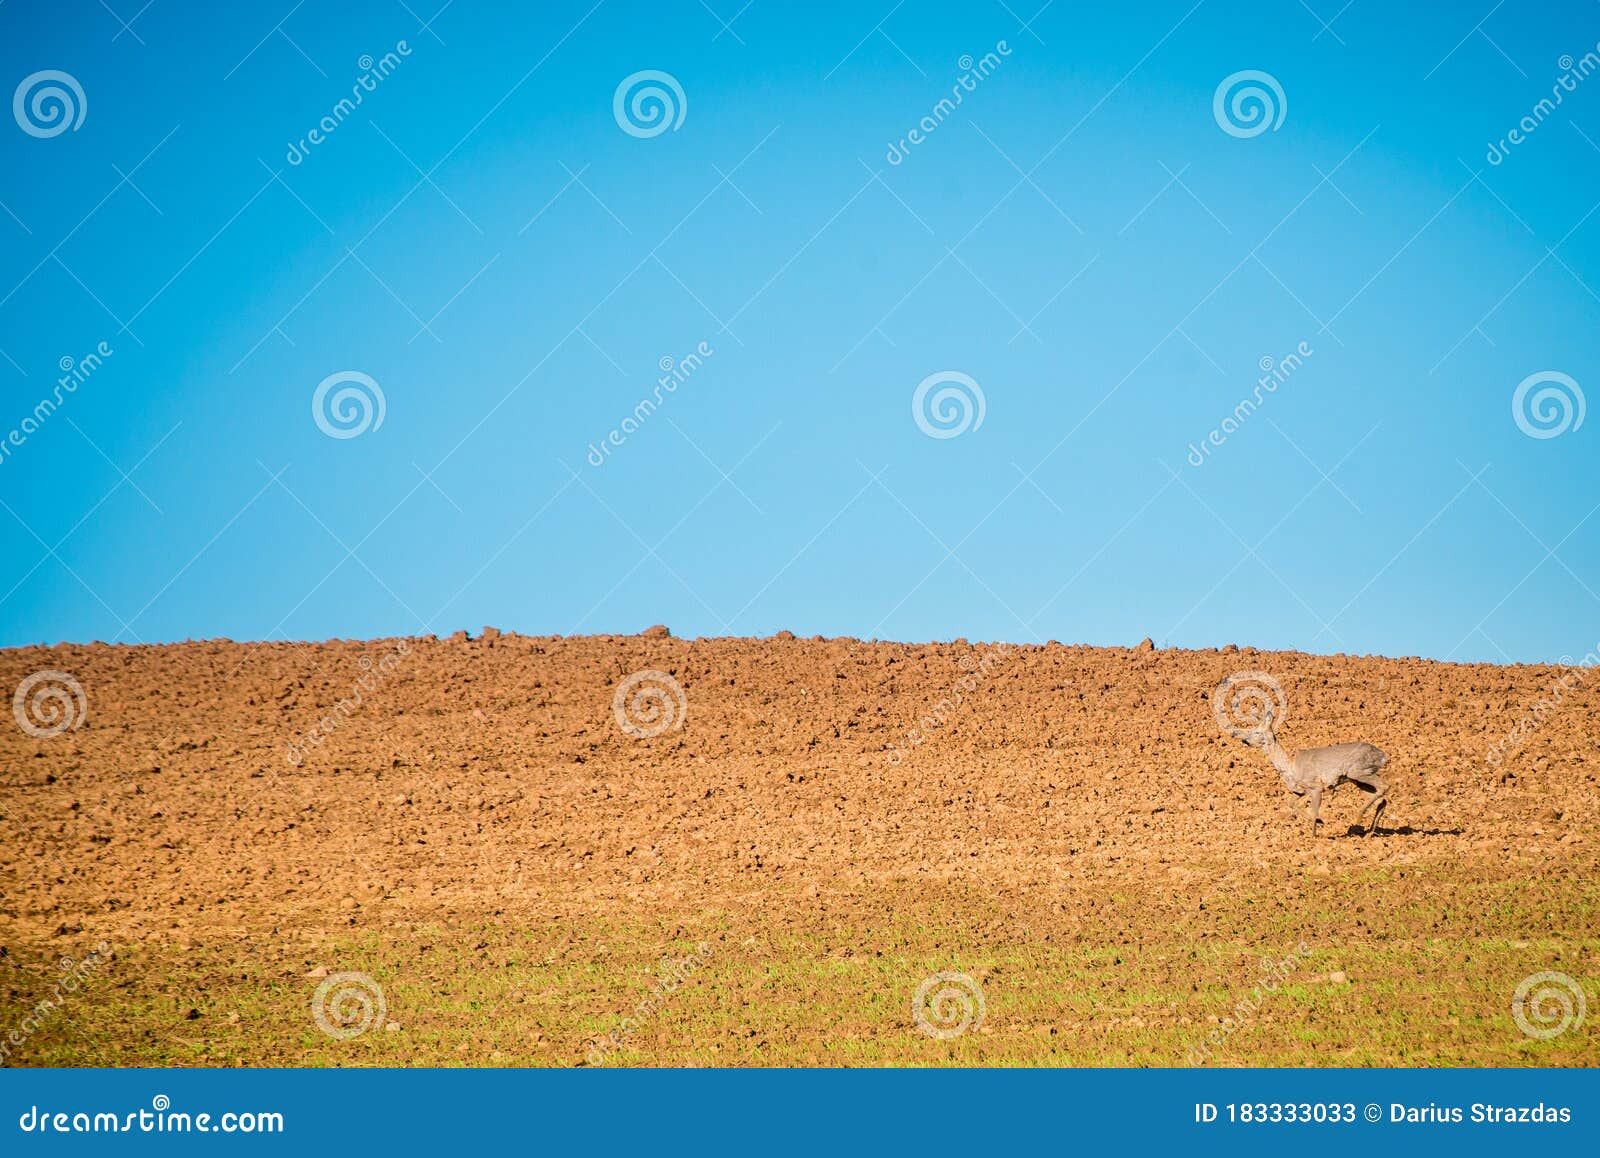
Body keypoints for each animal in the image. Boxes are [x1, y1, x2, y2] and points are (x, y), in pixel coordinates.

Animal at [1240, 705, 1389, 837]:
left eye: (1257, 732)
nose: (1244, 740)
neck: (1291, 768)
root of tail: (1382, 755)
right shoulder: (1300, 790)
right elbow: (1290, 803)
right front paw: (1320, 821)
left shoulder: (1316, 786)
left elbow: (1314, 810)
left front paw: (1313, 836)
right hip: (1357, 778)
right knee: (1382, 799)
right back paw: (1370, 831)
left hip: (1357, 770)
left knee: (1384, 786)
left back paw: (1358, 816)